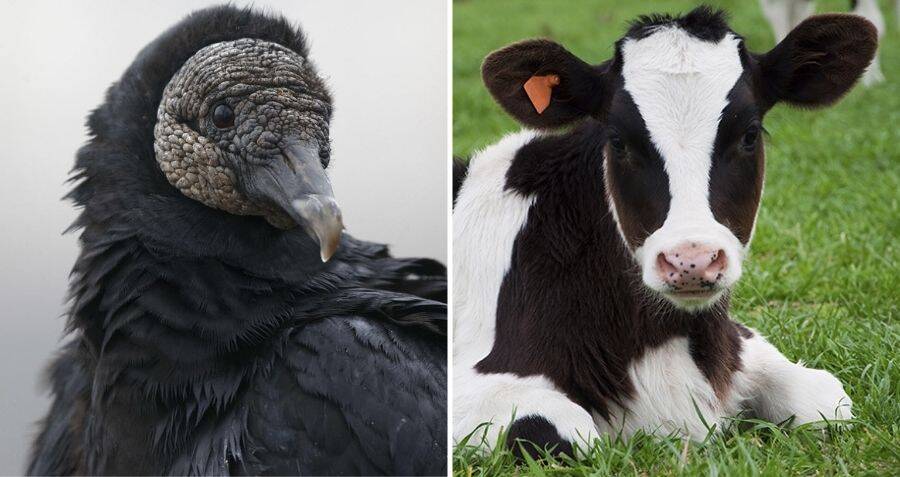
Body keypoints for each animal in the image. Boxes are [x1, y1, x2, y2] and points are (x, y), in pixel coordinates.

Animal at [452, 6, 876, 458]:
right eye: (618, 141)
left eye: (749, 134)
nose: (691, 262)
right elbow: (560, 431)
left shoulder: (743, 343)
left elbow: (825, 400)